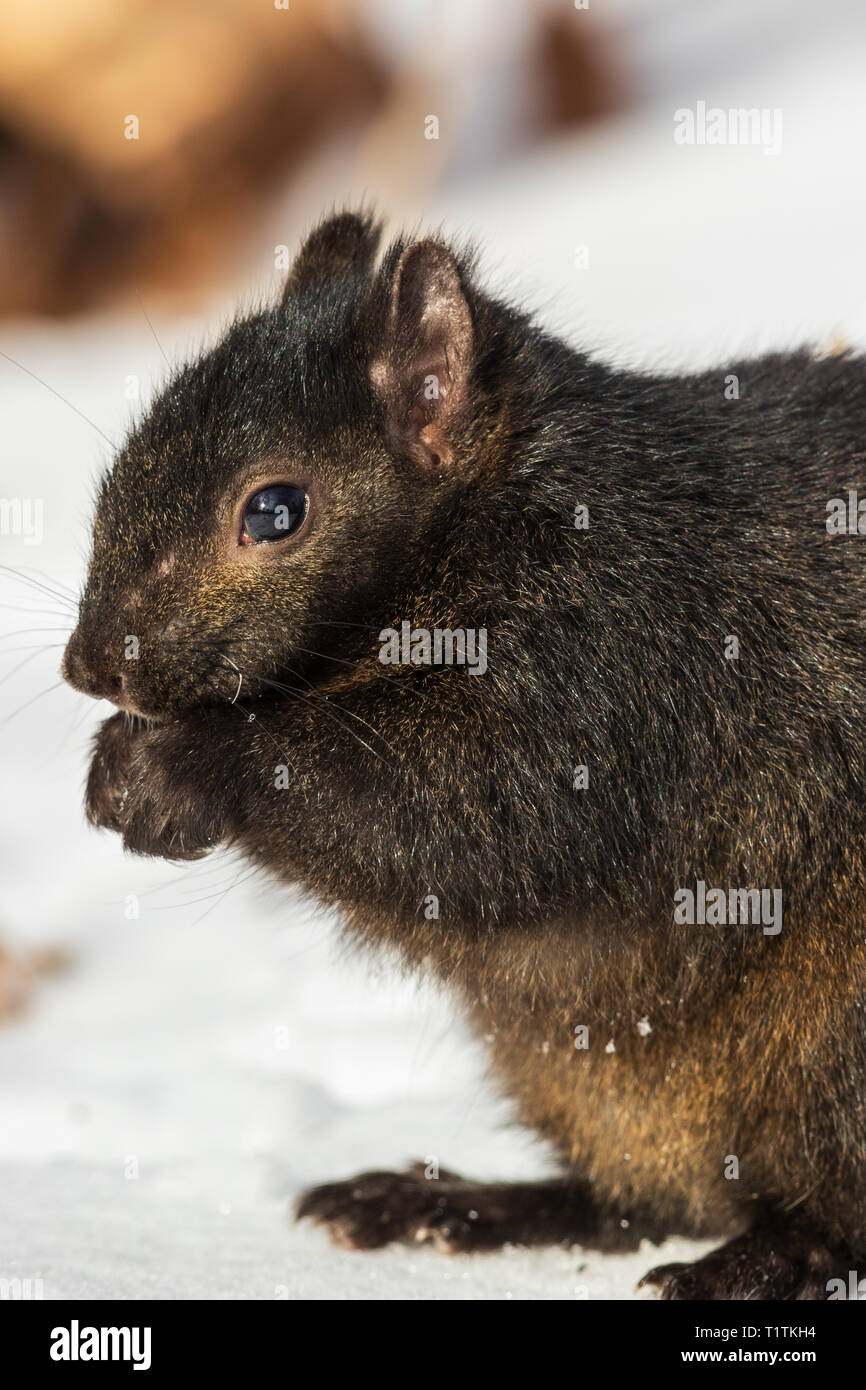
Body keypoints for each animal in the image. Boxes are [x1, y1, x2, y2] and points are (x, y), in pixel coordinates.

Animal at [62, 210, 866, 1299]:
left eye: (274, 511)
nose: (90, 666)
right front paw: (116, 766)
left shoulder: (619, 649)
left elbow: (474, 821)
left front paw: (180, 766)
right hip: (575, 1077)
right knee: (634, 1202)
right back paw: (455, 1203)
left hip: (834, 1035)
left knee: (815, 1208)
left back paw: (759, 1255)